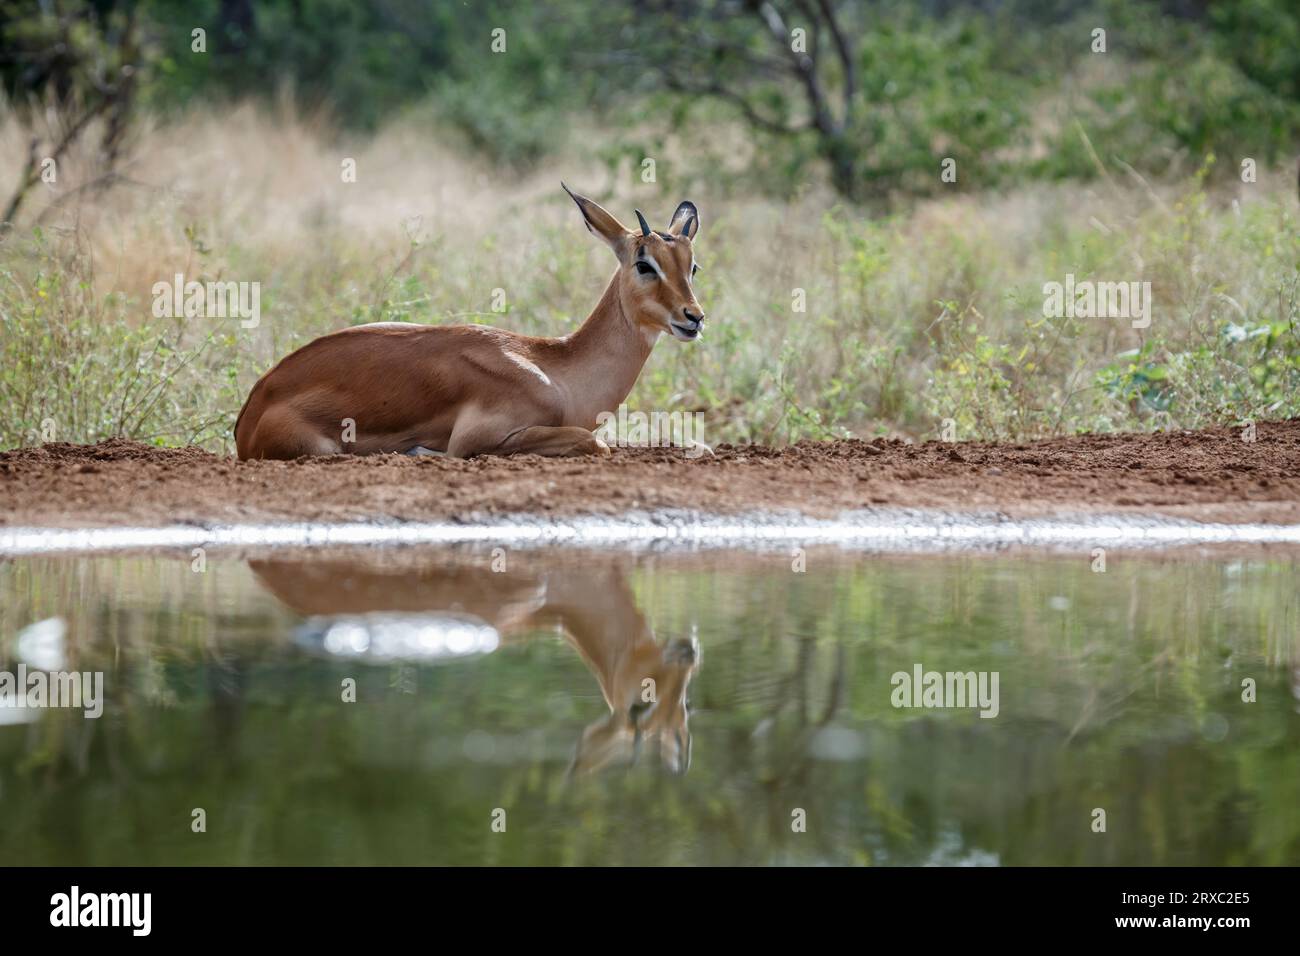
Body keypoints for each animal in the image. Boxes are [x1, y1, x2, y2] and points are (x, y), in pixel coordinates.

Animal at [234, 185, 705, 460]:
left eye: (692, 266)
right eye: (644, 264)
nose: (694, 318)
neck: (557, 371)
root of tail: (253, 406)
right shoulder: (478, 439)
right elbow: (596, 441)